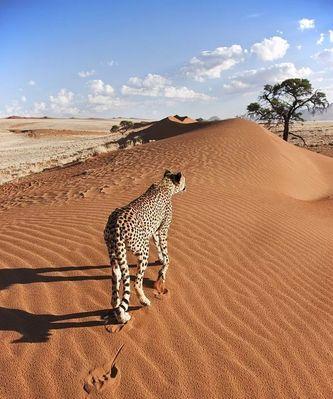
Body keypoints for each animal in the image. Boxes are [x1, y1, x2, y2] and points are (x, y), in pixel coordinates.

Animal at [104, 171, 185, 324]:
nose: (186, 186)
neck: (165, 184)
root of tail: (115, 222)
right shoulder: (163, 230)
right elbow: (166, 253)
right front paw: (163, 270)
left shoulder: (154, 231)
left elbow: (158, 245)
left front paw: (160, 260)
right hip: (142, 250)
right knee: (136, 282)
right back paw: (144, 301)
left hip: (114, 254)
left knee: (115, 287)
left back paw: (119, 312)